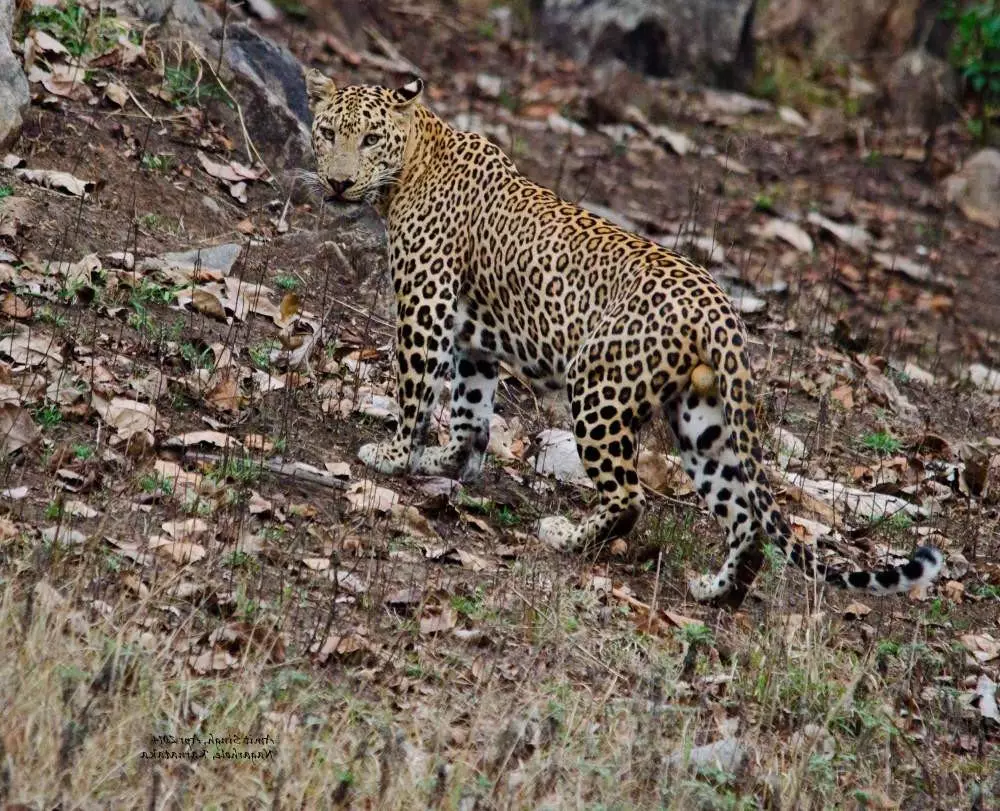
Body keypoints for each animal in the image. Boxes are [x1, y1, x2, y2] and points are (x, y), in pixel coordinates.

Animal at [300, 71, 940, 608]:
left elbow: (414, 391)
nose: (338, 182)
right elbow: (469, 409)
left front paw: (391, 455)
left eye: (370, 139)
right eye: (328, 133)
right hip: (703, 421)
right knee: (745, 516)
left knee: (630, 497)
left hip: (599, 386)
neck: (411, 164)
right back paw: (717, 592)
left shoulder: (426, 309)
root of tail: (721, 310)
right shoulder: (473, 340)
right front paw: (446, 460)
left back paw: (563, 536)